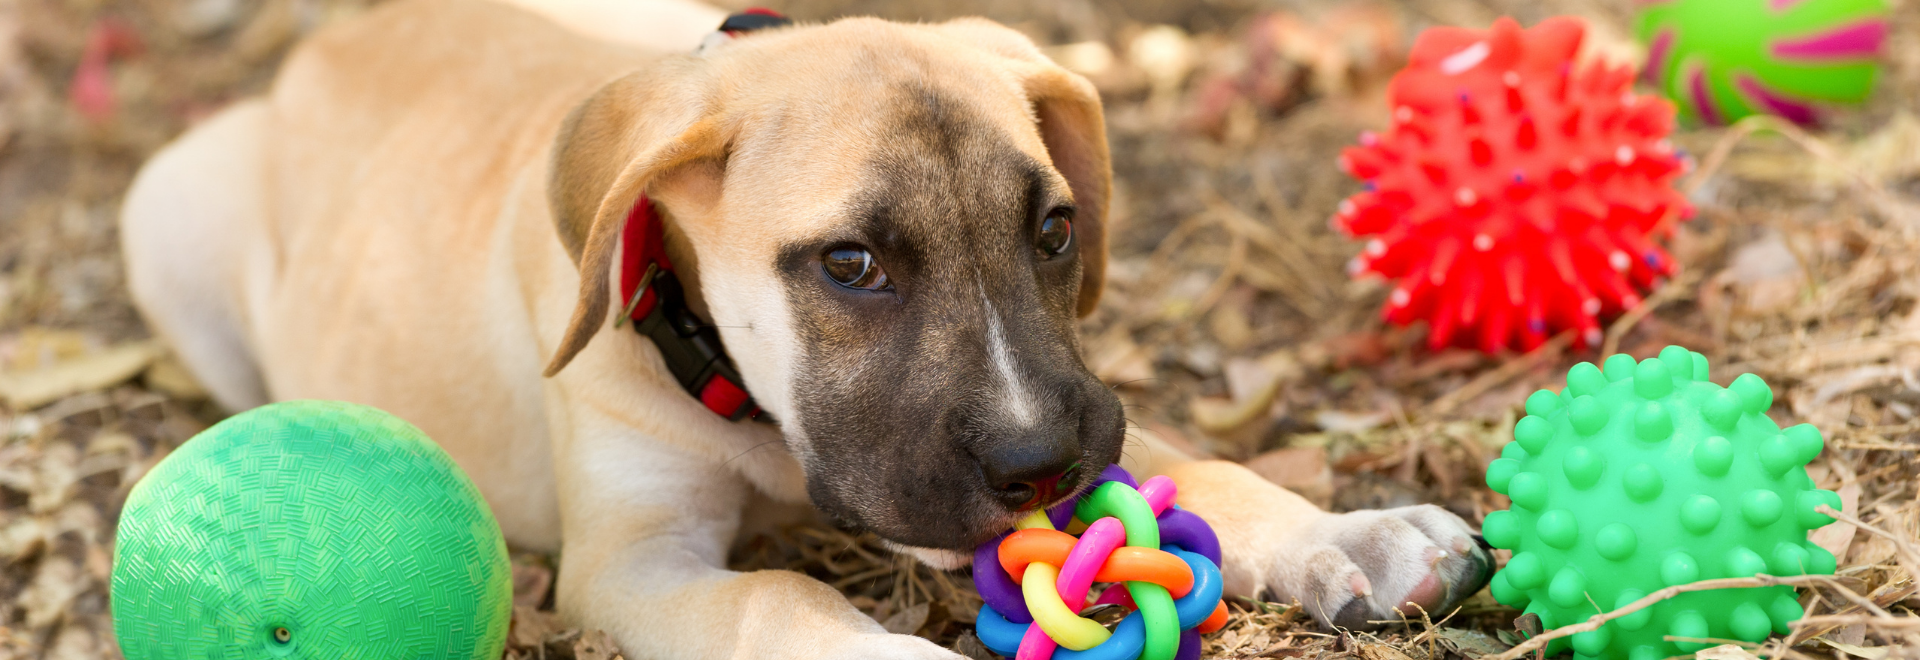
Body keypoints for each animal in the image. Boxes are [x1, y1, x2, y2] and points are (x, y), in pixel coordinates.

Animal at [119, 0, 1492, 656]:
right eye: (851, 265)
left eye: (1055, 229)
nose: (1040, 466)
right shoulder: (631, 566)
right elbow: (775, 603)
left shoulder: (1092, 411)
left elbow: (1201, 463)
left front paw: (1351, 534)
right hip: (163, 216)